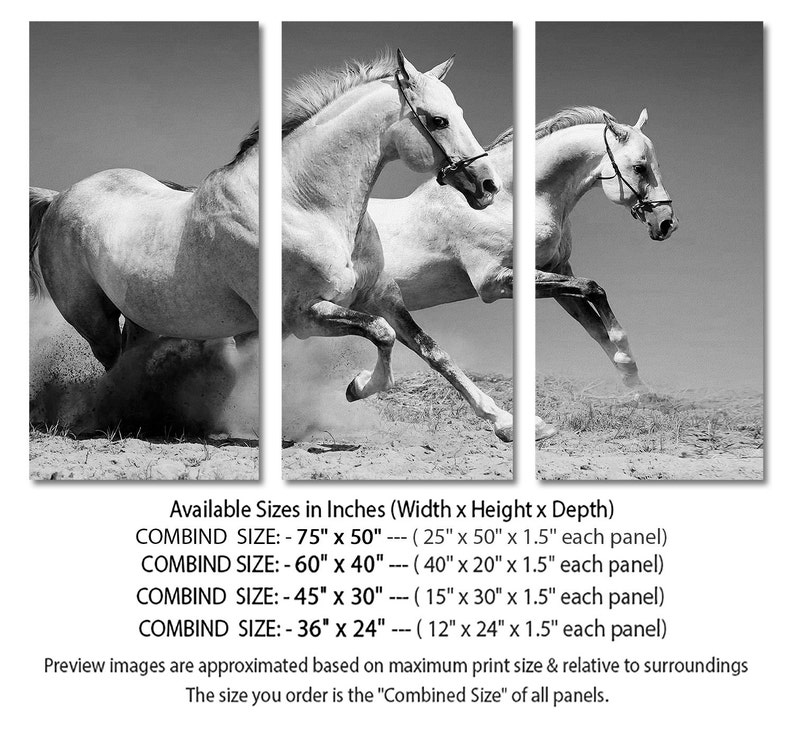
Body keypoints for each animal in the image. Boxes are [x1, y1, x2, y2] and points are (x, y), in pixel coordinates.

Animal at [535, 106, 678, 440]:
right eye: (639, 168)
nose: (668, 223)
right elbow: (595, 290)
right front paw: (628, 363)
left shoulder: (555, 273)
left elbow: (595, 326)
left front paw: (637, 386)